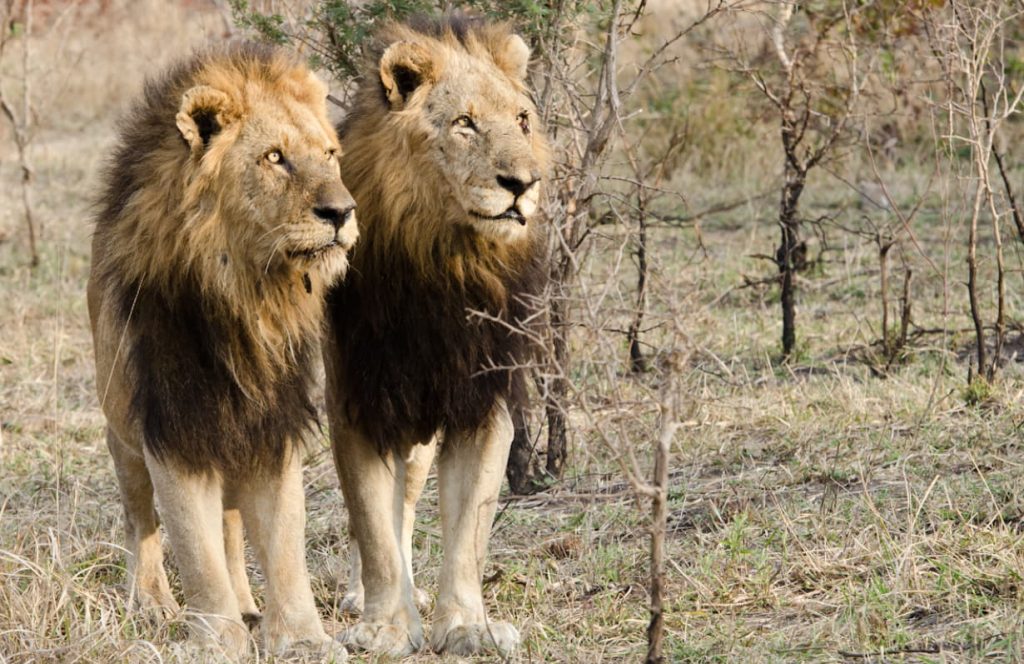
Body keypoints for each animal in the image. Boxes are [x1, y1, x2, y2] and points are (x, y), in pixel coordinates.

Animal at [88, 43, 357, 658]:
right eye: (275, 157)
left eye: (330, 155)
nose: (343, 212)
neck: (246, 300)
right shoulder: (173, 433)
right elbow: (196, 552)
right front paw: (215, 642)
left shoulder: (271, 430)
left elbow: (283, 549)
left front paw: (302, 639)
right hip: (122, 433)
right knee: (142, 523)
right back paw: (153, 605)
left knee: (232, 530)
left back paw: (249, 605)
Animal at [322, 16, 549, 657]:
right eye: (464, 123)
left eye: (522, 121)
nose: (523, 184)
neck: (445, 265)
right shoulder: (358, 400)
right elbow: (372, 525)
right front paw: (384, 629)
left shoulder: (483, 403)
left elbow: (469, 525)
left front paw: (467, 626)